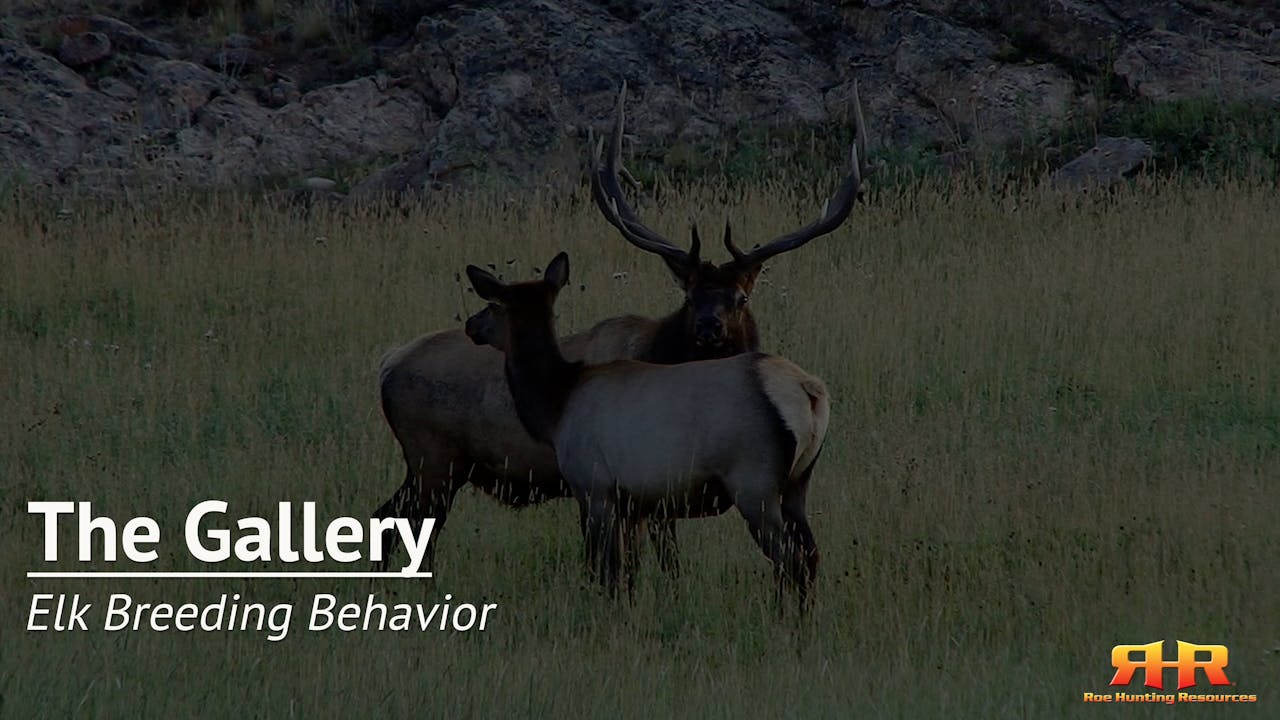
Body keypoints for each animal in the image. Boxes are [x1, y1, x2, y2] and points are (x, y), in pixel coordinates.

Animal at [463, 252, 831, 602]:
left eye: (492, 304)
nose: (470, 324)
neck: (555, 405)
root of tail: (809, 392)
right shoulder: (632, 503)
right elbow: (627, 571)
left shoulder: (594, 487)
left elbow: (608, 571)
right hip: (797, 483)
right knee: (811, 555)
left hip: (754, 483)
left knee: (788, 559)